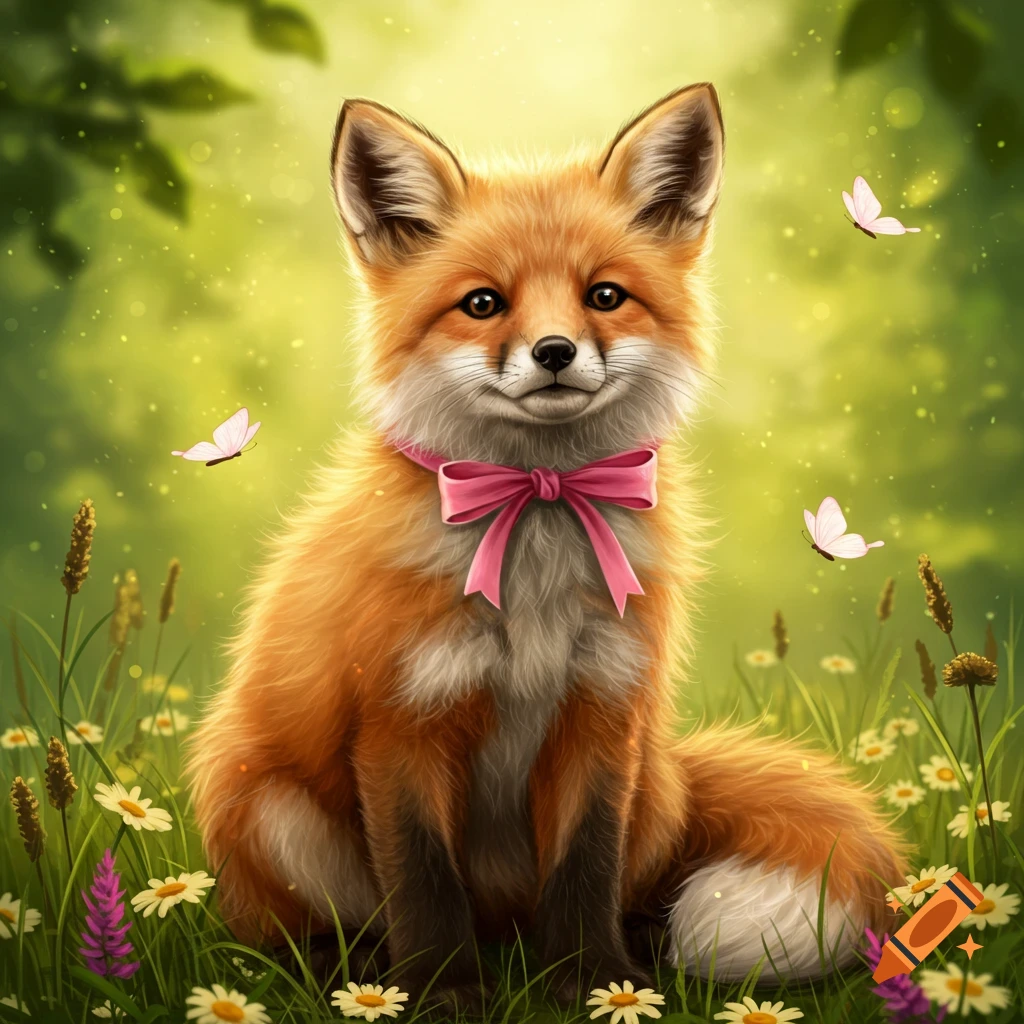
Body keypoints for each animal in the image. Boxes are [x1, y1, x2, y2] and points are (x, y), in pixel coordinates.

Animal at [188, 82, 907, 1010]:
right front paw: (442, 997)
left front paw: (600, 987)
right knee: (308, 928)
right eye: (482, 304)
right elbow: (422, 882)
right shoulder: (399, 722)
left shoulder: (602, 712)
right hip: (268, 802)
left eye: (604, 296)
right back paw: (349, 970)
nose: (555, 352)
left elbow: (585, 869)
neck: (536, 516)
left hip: (651, 796)